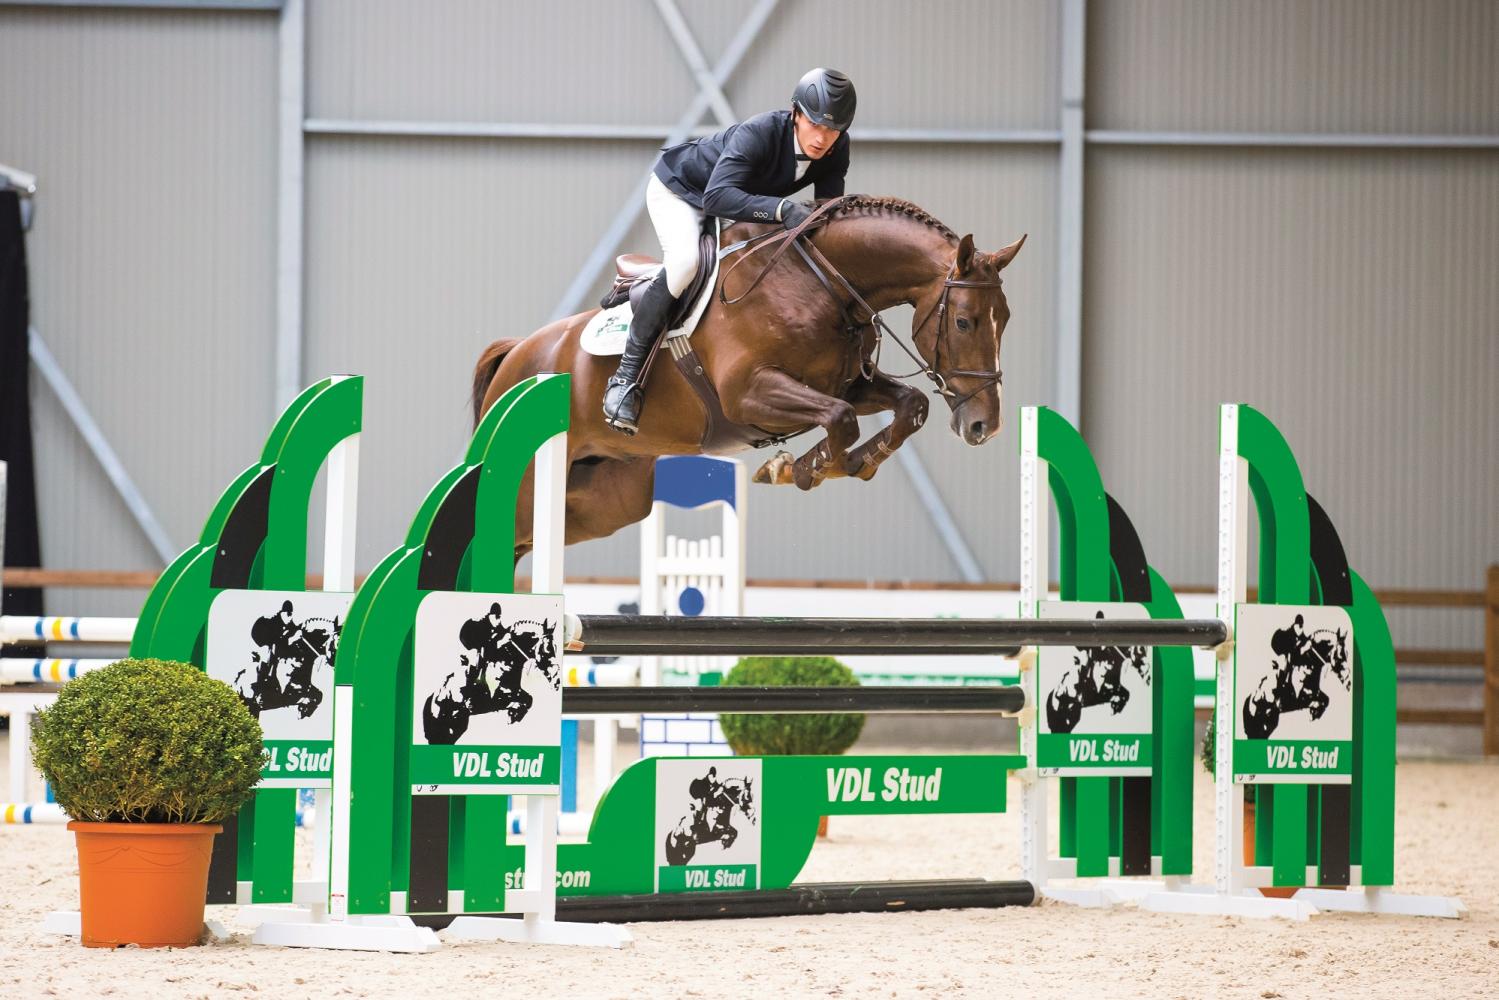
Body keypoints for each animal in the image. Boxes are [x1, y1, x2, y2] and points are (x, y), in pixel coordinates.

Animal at [470, 195, 1025, 562]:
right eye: (964, 321)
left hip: (603, 501)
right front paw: (799, 468)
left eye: (1006, 318)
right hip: (529, 484)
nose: (985, 425)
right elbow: (841, 421)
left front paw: (847, 463)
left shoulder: (847, 384)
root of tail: (518, 353)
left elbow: (909, 405)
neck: (820, 283)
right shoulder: (750, 396)